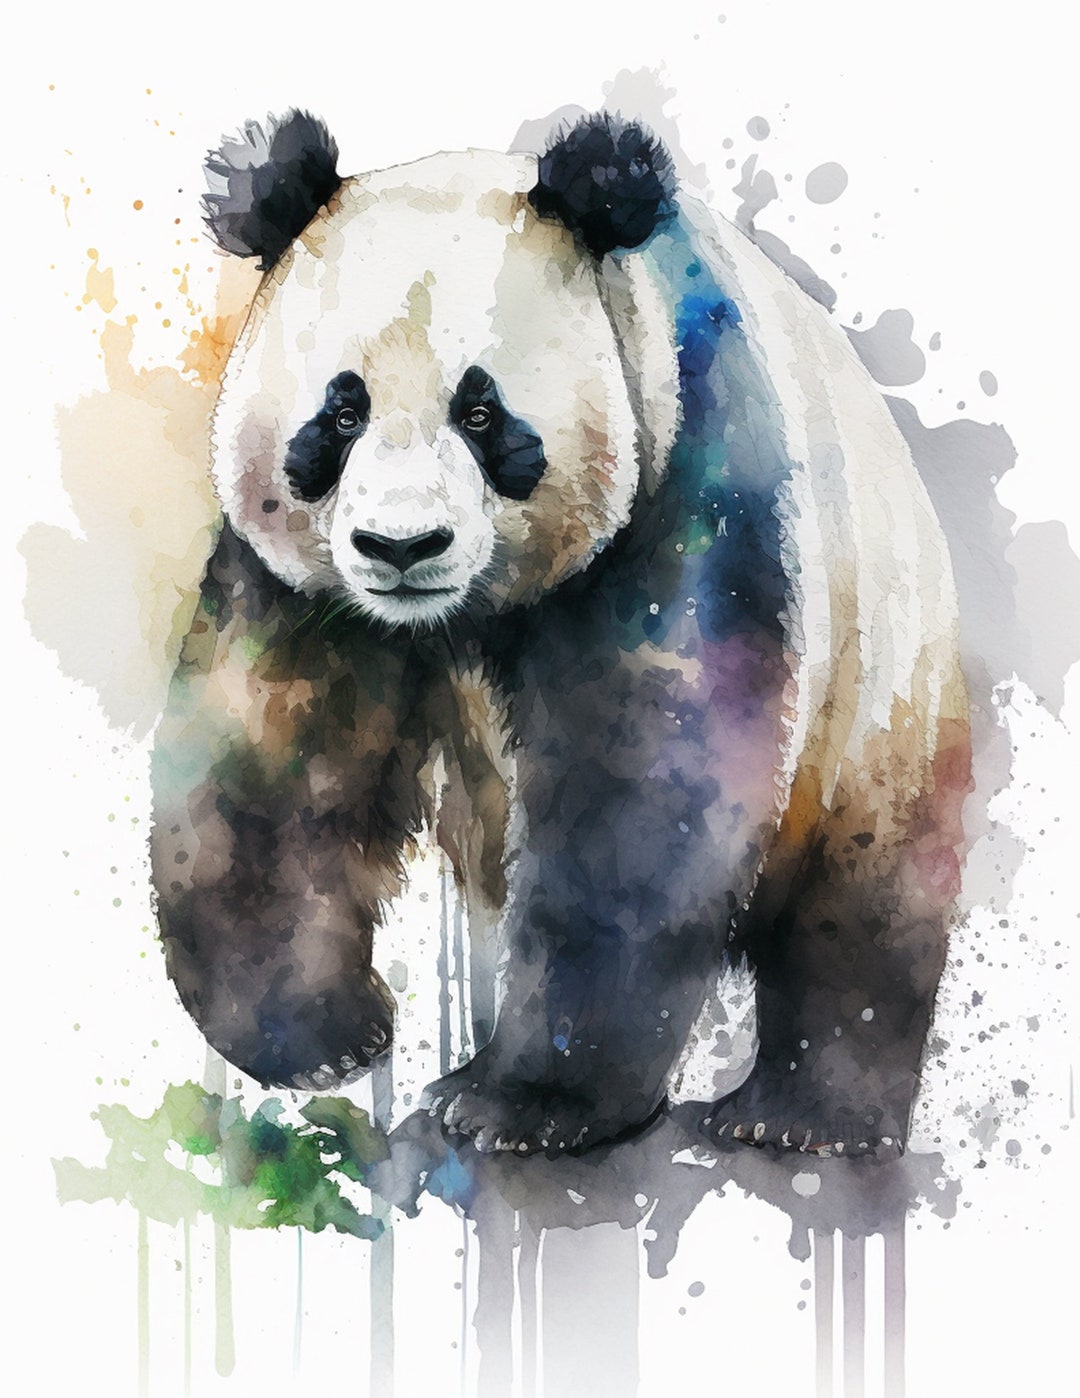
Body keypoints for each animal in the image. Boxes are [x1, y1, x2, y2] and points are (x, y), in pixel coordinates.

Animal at [151, 109, 971, 1159]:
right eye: (339, 414)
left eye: (482, 412)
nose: (403, 545)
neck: (458, 615)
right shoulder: (308, 586)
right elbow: (266, 757)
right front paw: (325, 1038)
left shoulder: (693, 480)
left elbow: (644, 792)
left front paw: (515, 1104)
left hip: (881, 685)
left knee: (867, 907)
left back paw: (802, 1118)